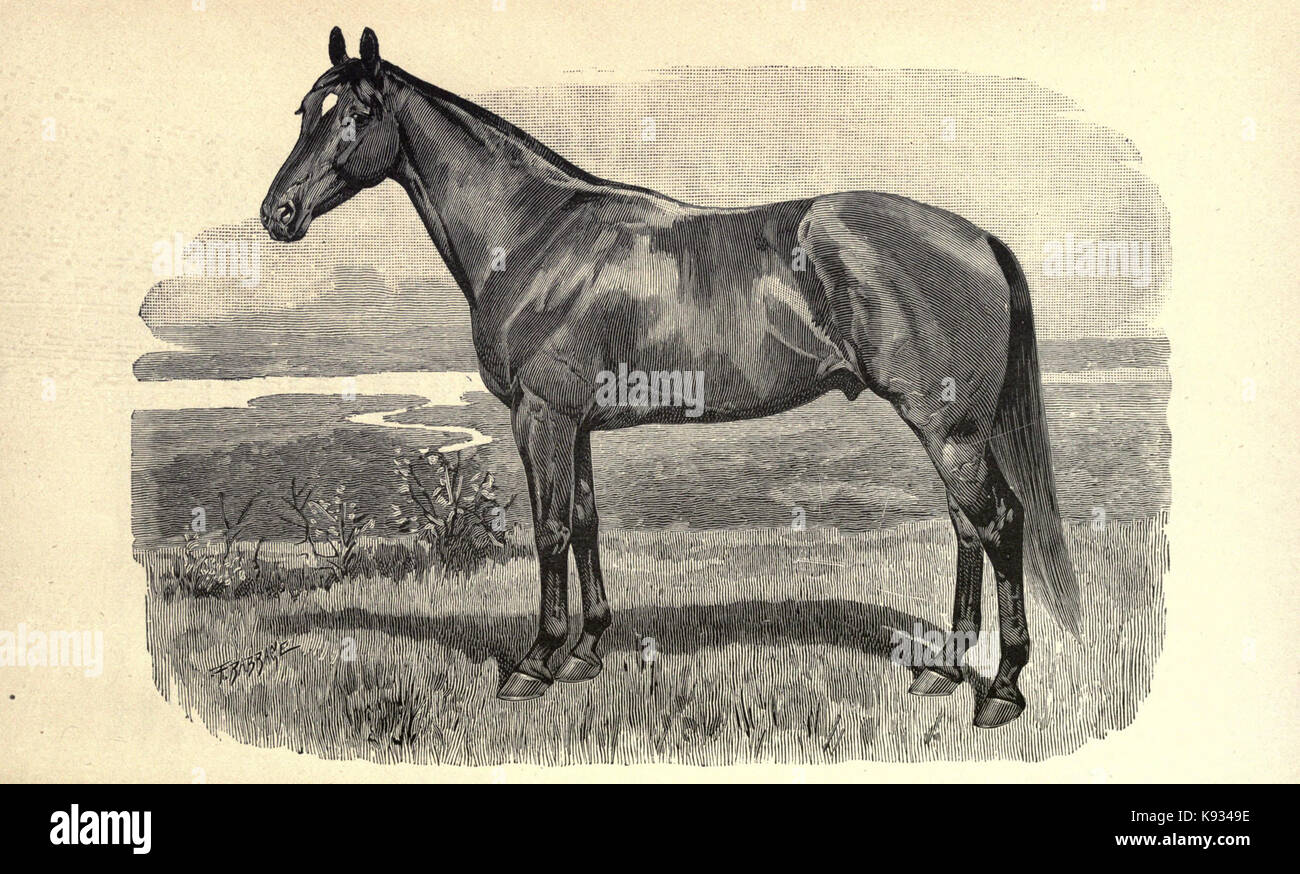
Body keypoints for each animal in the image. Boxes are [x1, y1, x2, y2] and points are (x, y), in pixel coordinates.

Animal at [261, 28, 1079, 728]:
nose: (278, 212)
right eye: (305, 112)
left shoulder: (540, 416)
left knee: (999, 526)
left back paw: (1001, 690)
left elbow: (548, 531)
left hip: (950, 430)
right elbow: (586, 522)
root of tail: (977, 237)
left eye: (357, 114)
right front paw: (588, 651)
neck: (535, 237)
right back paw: (943, 669)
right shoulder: (575, 423)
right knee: (968, 528)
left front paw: (535, 664)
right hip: (951, 431)